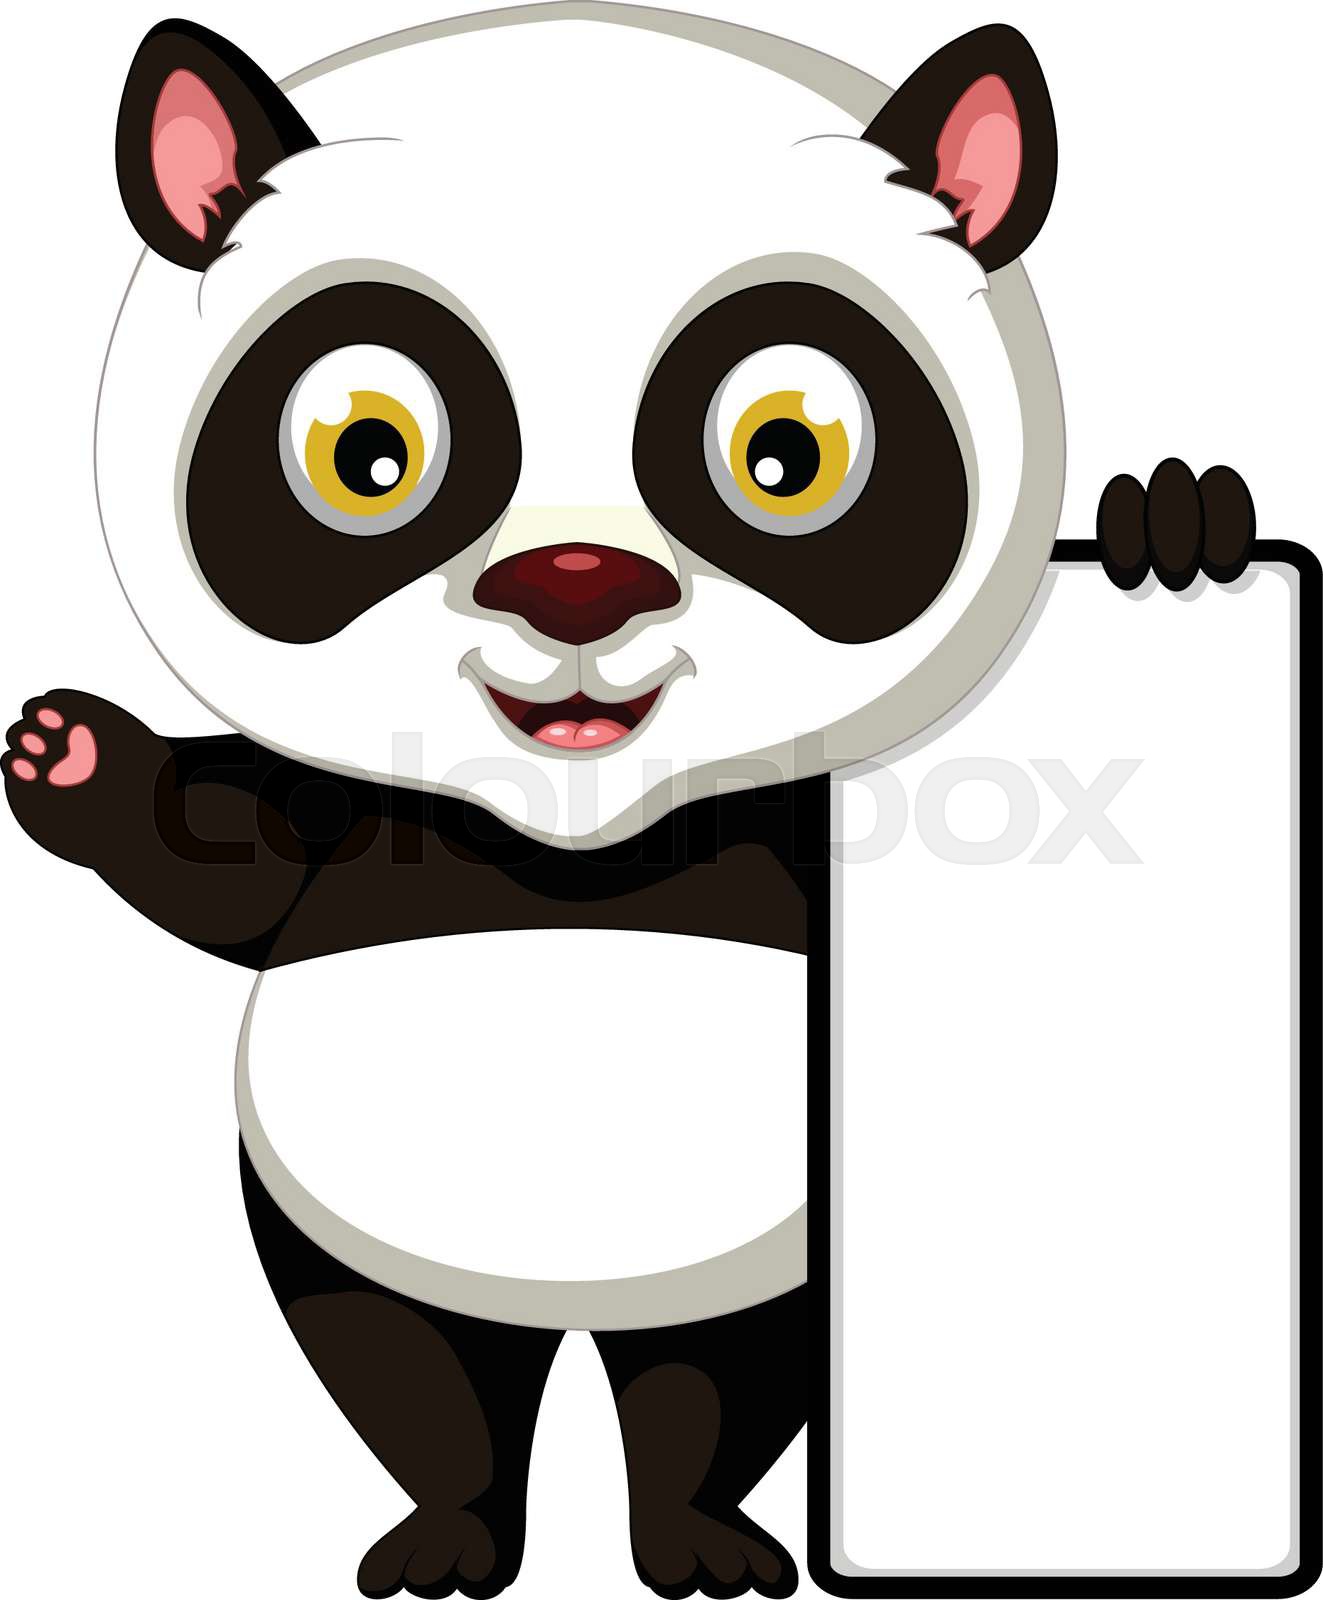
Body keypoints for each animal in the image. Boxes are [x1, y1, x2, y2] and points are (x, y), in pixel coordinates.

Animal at [3, 7, 1255, 1599]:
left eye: (786, 453)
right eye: (367, 453)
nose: (576, 585)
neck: (578, 840)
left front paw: (1174, 528)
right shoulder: (362, 835)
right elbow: (236, 871)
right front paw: (68, 753)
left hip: (767, 1263)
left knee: (715, 1386)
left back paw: (697, 1531)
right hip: (344, 1235)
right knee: (413, 1376)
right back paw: (450, 1528)